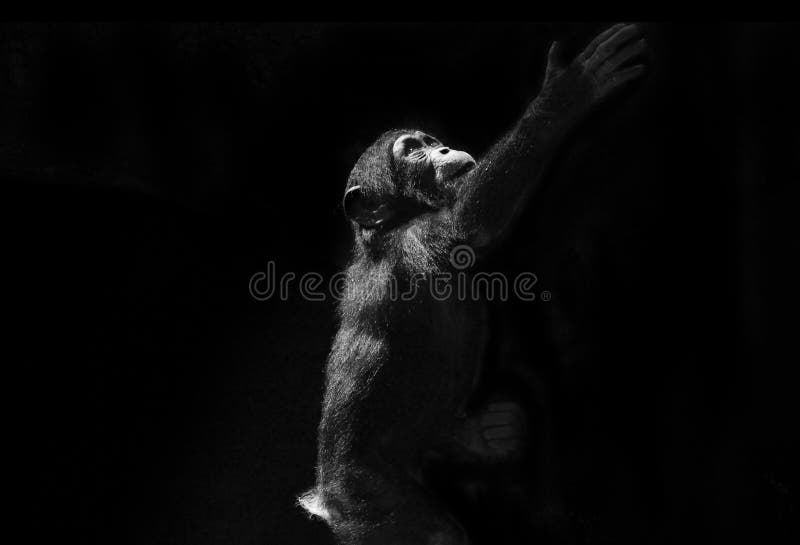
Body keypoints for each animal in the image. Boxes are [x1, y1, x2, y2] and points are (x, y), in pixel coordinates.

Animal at [299, 23, 648, 545]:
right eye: (411, 149)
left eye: (431, 139)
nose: (443, 149)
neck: (390, 225)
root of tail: (324, 499)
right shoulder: (420, 239)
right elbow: (473, 219)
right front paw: (567, 92)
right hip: (372, 503)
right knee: (429, 531)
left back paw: (490, 435)